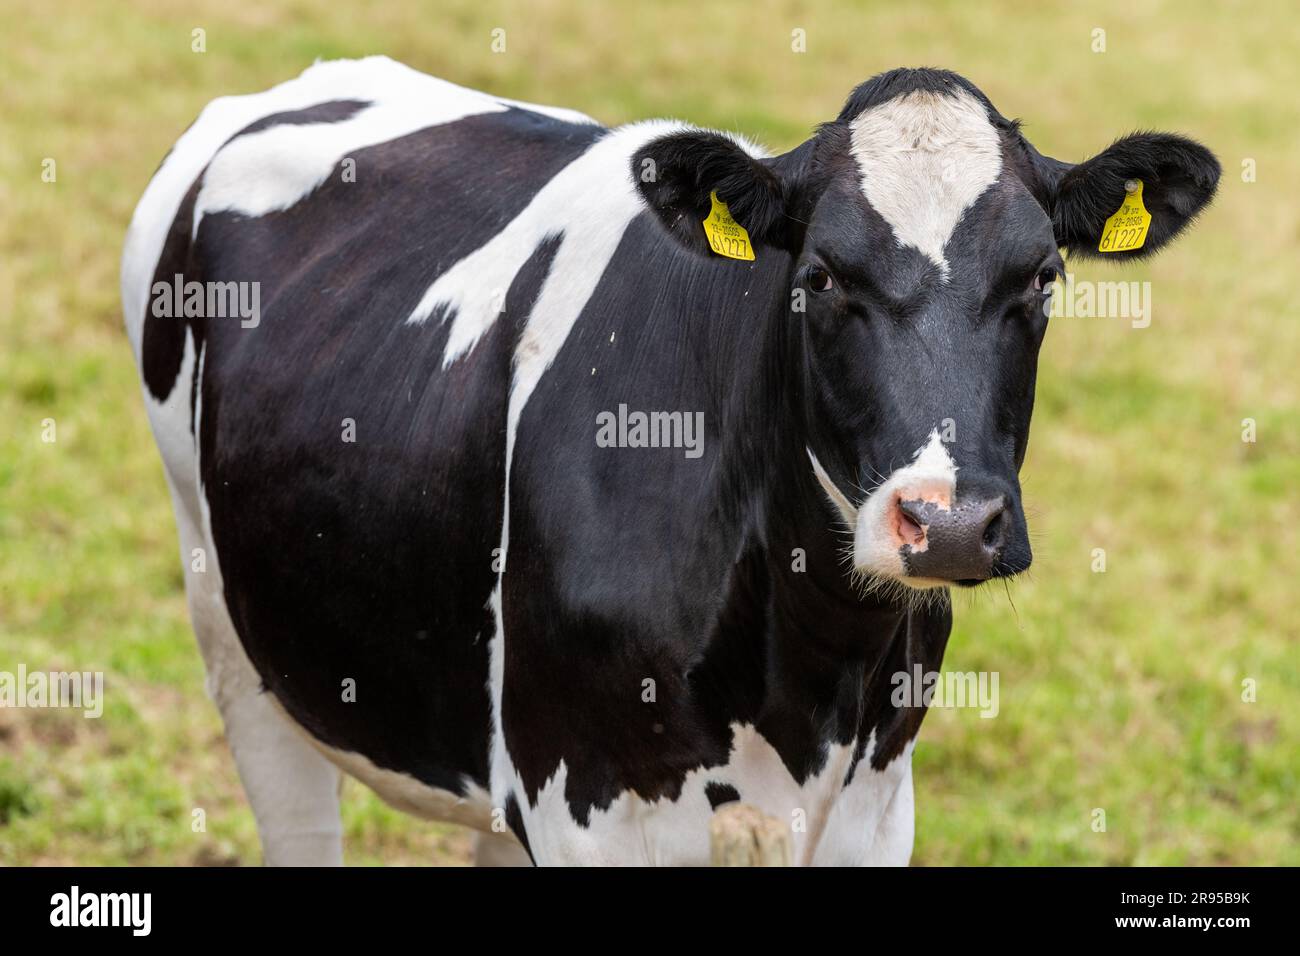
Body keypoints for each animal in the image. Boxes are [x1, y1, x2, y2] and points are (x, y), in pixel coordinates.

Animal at [122, 57, 1216, 868]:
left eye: (1042, 277)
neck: (809, 661)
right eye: (822, 275)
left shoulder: (874, 802)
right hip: (236, 633)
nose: (945, 522)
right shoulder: (595, 800)